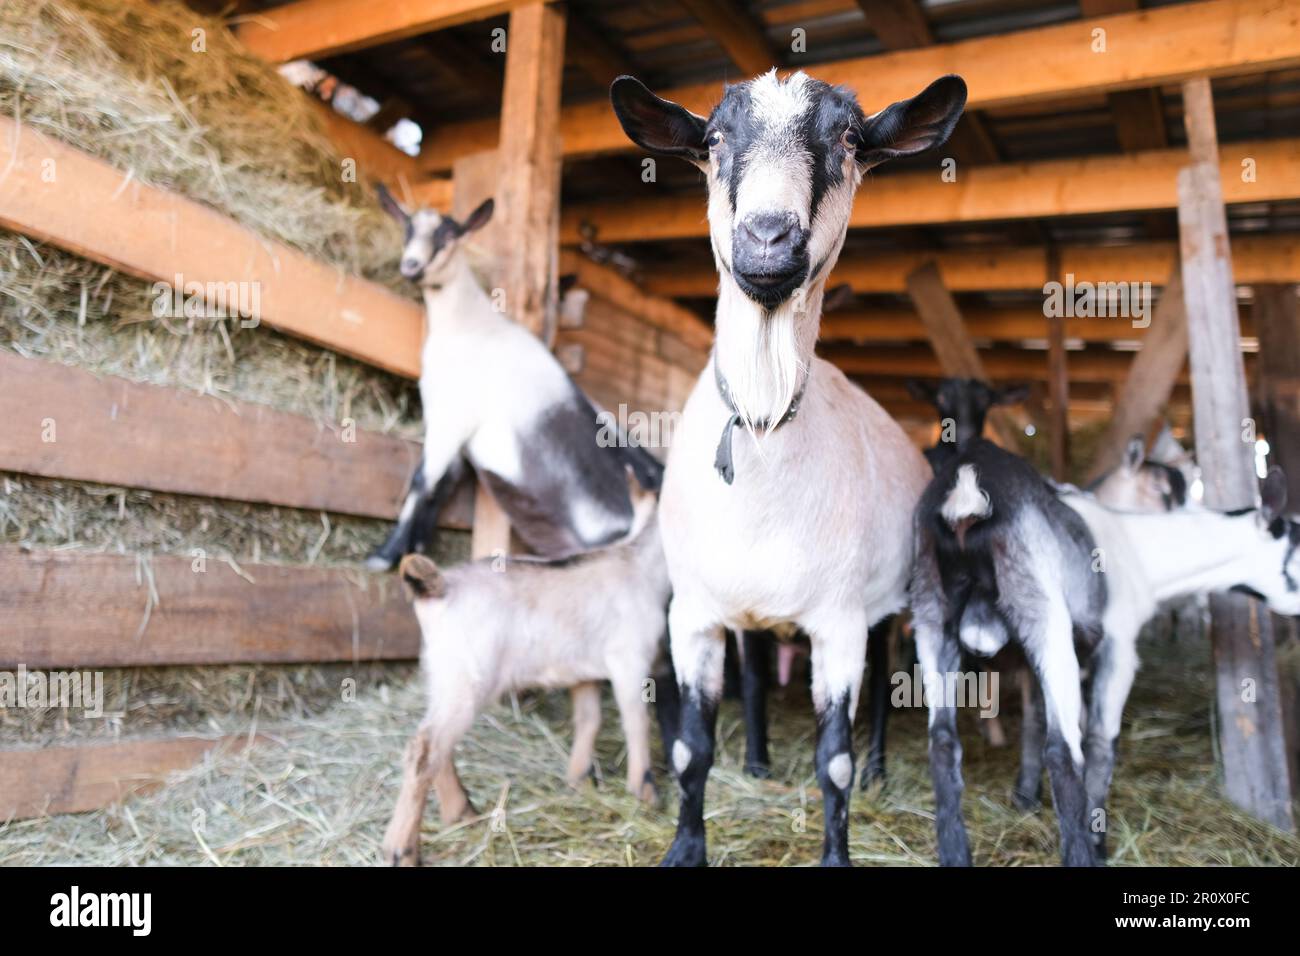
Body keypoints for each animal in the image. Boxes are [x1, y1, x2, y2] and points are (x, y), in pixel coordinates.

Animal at [366, 186, 662, 571]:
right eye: (407, 230)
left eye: (448, 235)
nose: (411, 265)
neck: (469, 325)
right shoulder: (453, 432)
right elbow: (442, 486)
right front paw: (414, 547)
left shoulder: (452, 418)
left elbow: (423, 481)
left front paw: (384, 555)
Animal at [380, 471, 671, 866]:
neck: (638, 561)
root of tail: (440, 585)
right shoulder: (630, 659)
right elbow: (636, 722)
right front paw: (645, 793)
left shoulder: (584, 671)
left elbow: (589, 719)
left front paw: (577, 781)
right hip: (470, 677)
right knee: (425, 748)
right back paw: (402, 848)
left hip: (442, 675)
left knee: (437, 745)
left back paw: (460, 813)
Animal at [611, 69, 966, 865]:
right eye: (714, 140)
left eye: (849, 139)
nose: (768, 239)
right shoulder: (694, 614)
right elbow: (691, 749)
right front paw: (686, 846)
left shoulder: (839, 623)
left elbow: (832, 760)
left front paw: (837, 848)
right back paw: (760, 760)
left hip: (900, 601)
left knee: (893, 695)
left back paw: (885, 772)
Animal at [913, 435, 1300, 866]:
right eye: (1295, 545)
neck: (1141, 551)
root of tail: (967, 489)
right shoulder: (1118, 646)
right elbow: (1100, 741)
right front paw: (1097, 837)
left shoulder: (1030, 661)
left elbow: (1033, 723)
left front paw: (1025, 798)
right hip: (1044, 613)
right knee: (1063, 753)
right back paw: (1083, 853)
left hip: (931, 614)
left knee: (942, 741)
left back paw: (955, 853)